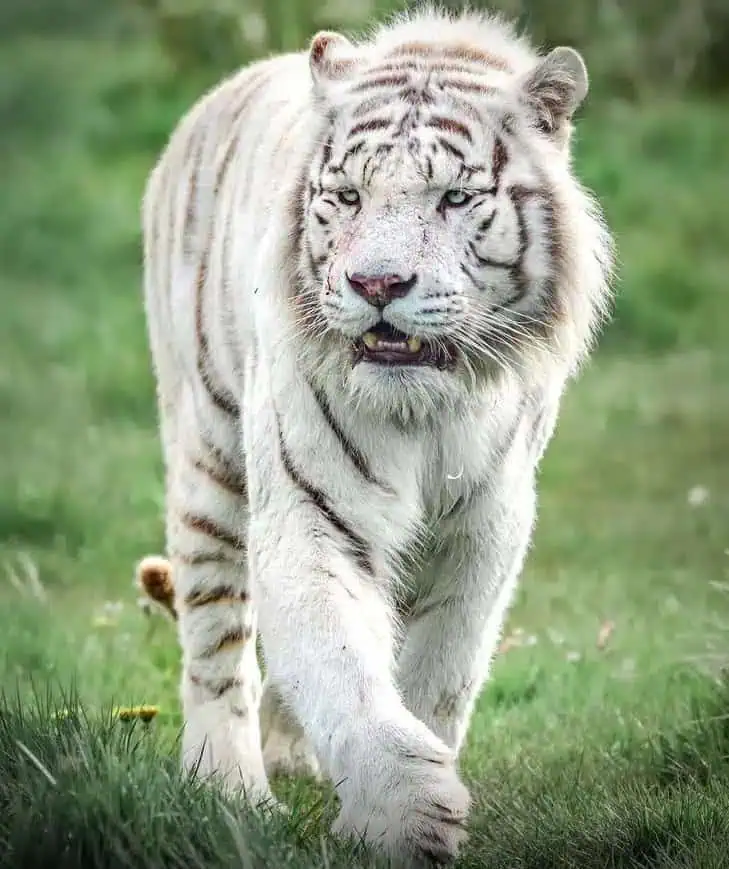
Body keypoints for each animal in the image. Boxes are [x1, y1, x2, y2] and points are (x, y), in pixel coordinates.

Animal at [139, 5, 614, 864]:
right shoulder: (309, 510)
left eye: (455, 197)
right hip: (208, 463)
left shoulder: (484, 525)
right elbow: (340, 662)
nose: (377, 283)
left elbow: (438, 672)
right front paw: (403, 811)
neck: (425, 412)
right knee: (217, 646)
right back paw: (229, 785)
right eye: (347, 196)